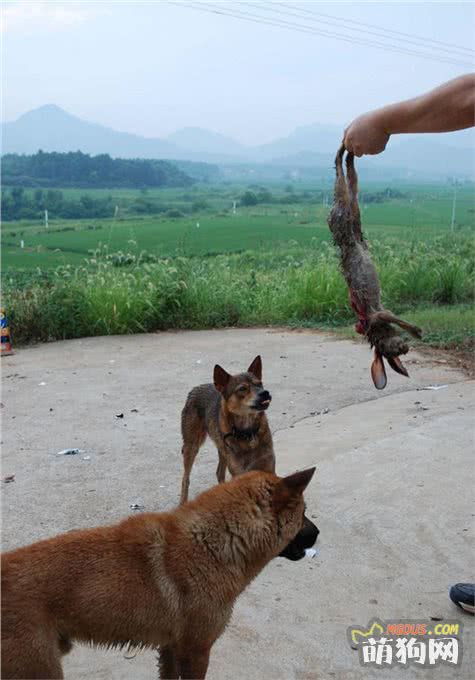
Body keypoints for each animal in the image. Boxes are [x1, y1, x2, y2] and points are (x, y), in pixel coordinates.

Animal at [179, 356, 276, 504]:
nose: (265, 393)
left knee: (219, 472)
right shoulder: (239, 473)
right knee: (185, 479)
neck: (248, 433)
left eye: (260, 384)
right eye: (242, 389)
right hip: (192, 446)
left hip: (222, 449)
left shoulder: (268, 467)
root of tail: (197, 388)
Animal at [328, 143, 424, 388]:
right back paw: (346, 156)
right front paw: (415, 330)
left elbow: (395, 318)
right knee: (347, 188)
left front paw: (414, 330)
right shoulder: (378, 315)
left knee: (346, 185)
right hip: (345, 219)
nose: (405, 348)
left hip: (347, 221)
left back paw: (345, 153)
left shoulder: (377, 316)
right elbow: (392, 315)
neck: (372, 328)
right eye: (392, 353)